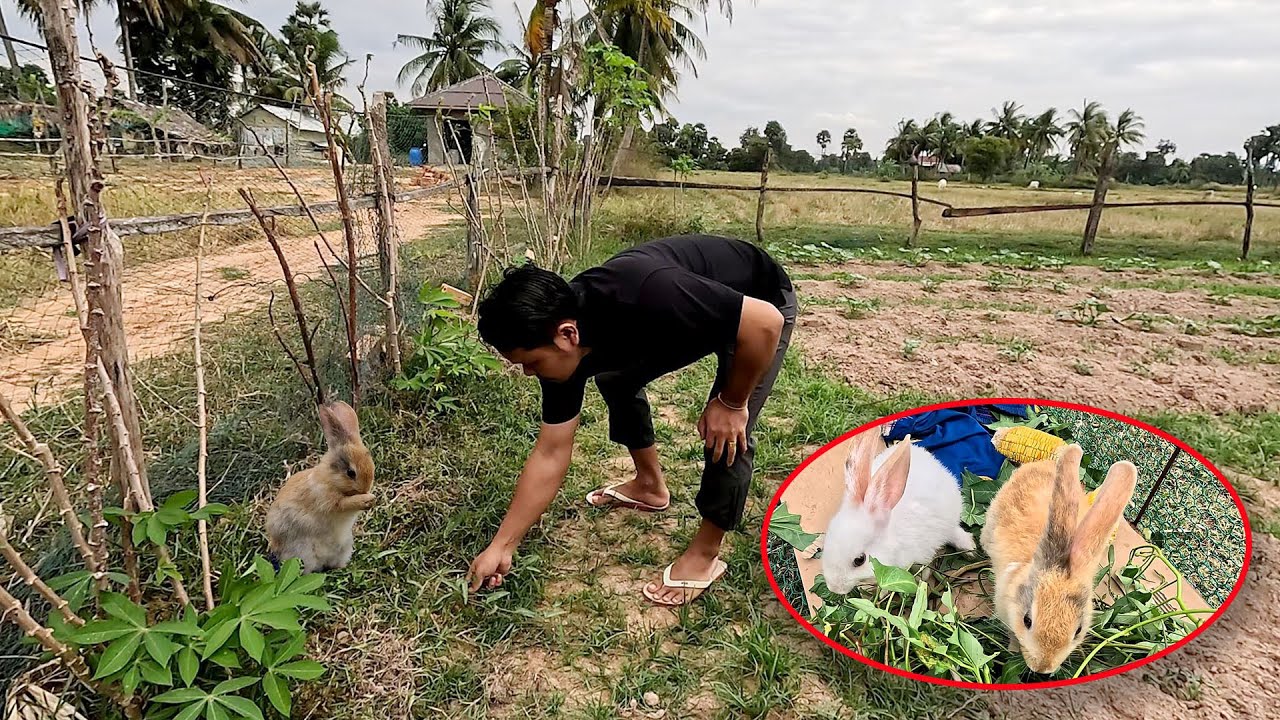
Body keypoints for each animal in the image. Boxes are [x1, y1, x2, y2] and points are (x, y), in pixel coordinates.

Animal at [266, 400, 376, 574]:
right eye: (351, 473)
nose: (366, 488)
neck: (330, 478)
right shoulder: (326, 498)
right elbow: (344, 503)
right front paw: (368, 499)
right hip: (304, 554)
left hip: (345, 547)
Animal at [821, 429, 976, 595]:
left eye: (860, 560)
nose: (834, 588)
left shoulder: (922, 552)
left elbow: (924, 568)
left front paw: (921, 580)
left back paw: (969, 549)